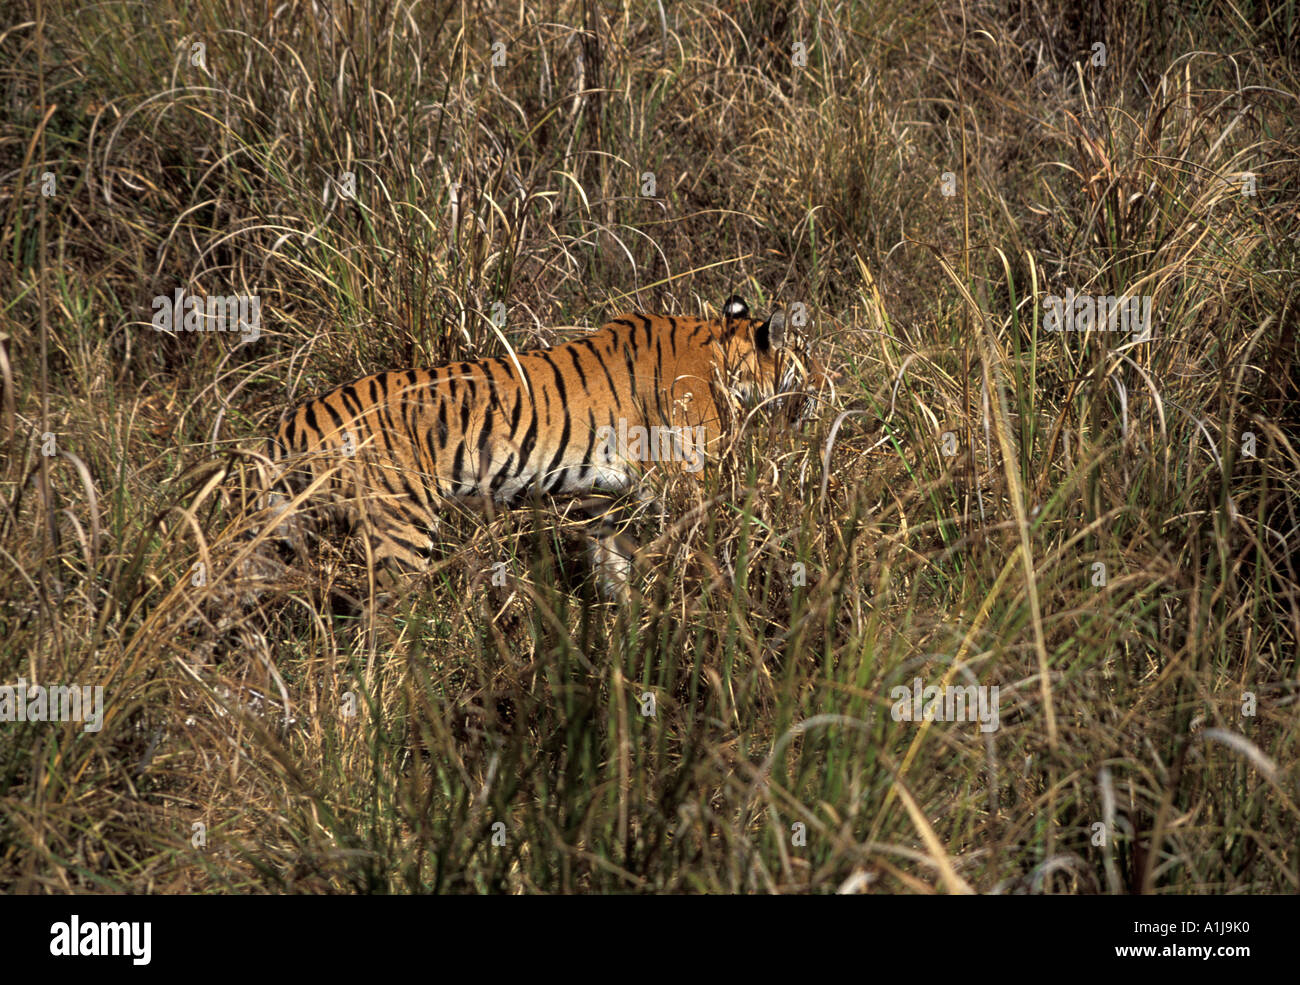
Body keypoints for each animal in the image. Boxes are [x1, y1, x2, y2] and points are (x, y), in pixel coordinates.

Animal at [263, 295, 820, 591]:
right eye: (805, 362)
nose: (820, 392)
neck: (722, 360)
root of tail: (297, 419)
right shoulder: (683, 483)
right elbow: (697, 549)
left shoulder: (601, 498)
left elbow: (615, 566)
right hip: (398, 523)